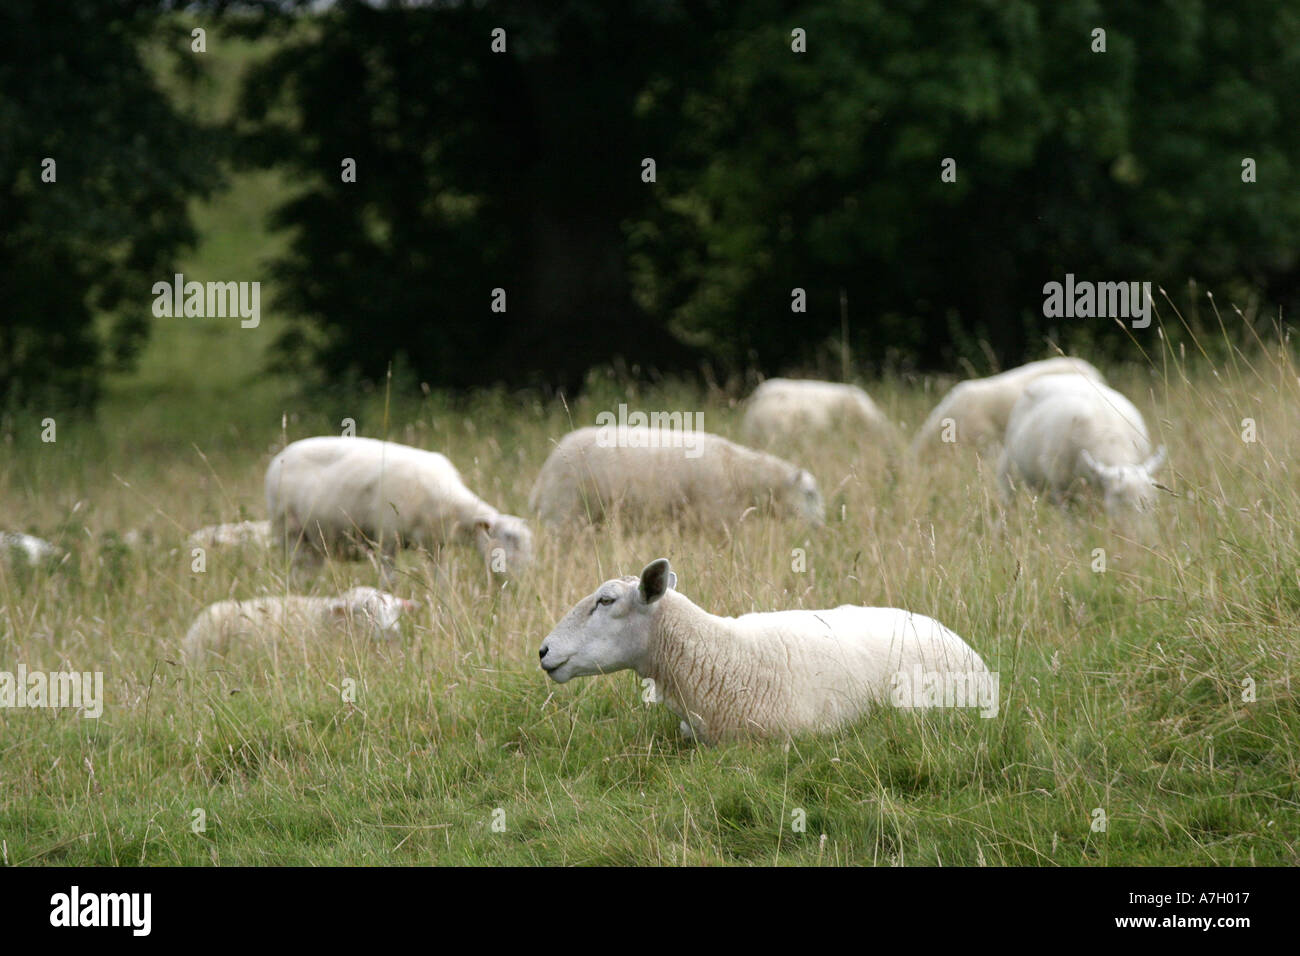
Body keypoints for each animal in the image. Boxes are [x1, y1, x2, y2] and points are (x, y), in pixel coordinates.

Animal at [265, 436, 532, 574]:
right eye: (508, 538)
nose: (522, 582)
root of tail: (280, 456)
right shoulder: (386, 541)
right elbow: (390, 583)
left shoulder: (435, 547)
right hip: (289, 532)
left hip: (314, 540)